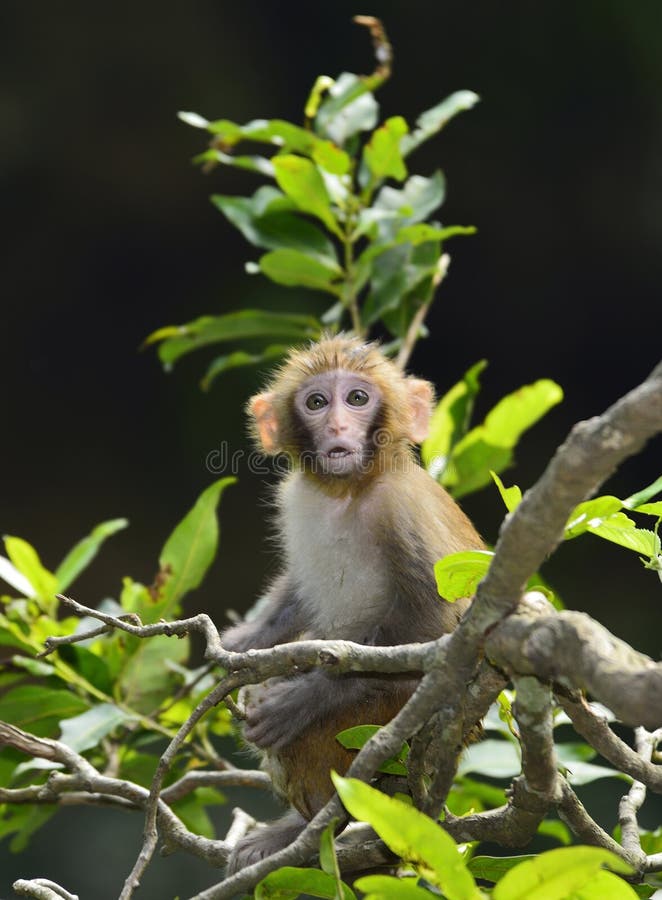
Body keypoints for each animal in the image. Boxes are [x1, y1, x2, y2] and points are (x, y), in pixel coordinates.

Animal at [222, 334, 484, 872]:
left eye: (358, 398)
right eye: (317, 402)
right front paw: (245, 640)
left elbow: (441, 634)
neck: (346, 491)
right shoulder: (297, 499)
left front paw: (305, 696)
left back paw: (316, 819)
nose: (339, 426)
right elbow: (298, 595)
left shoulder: (404, 508)